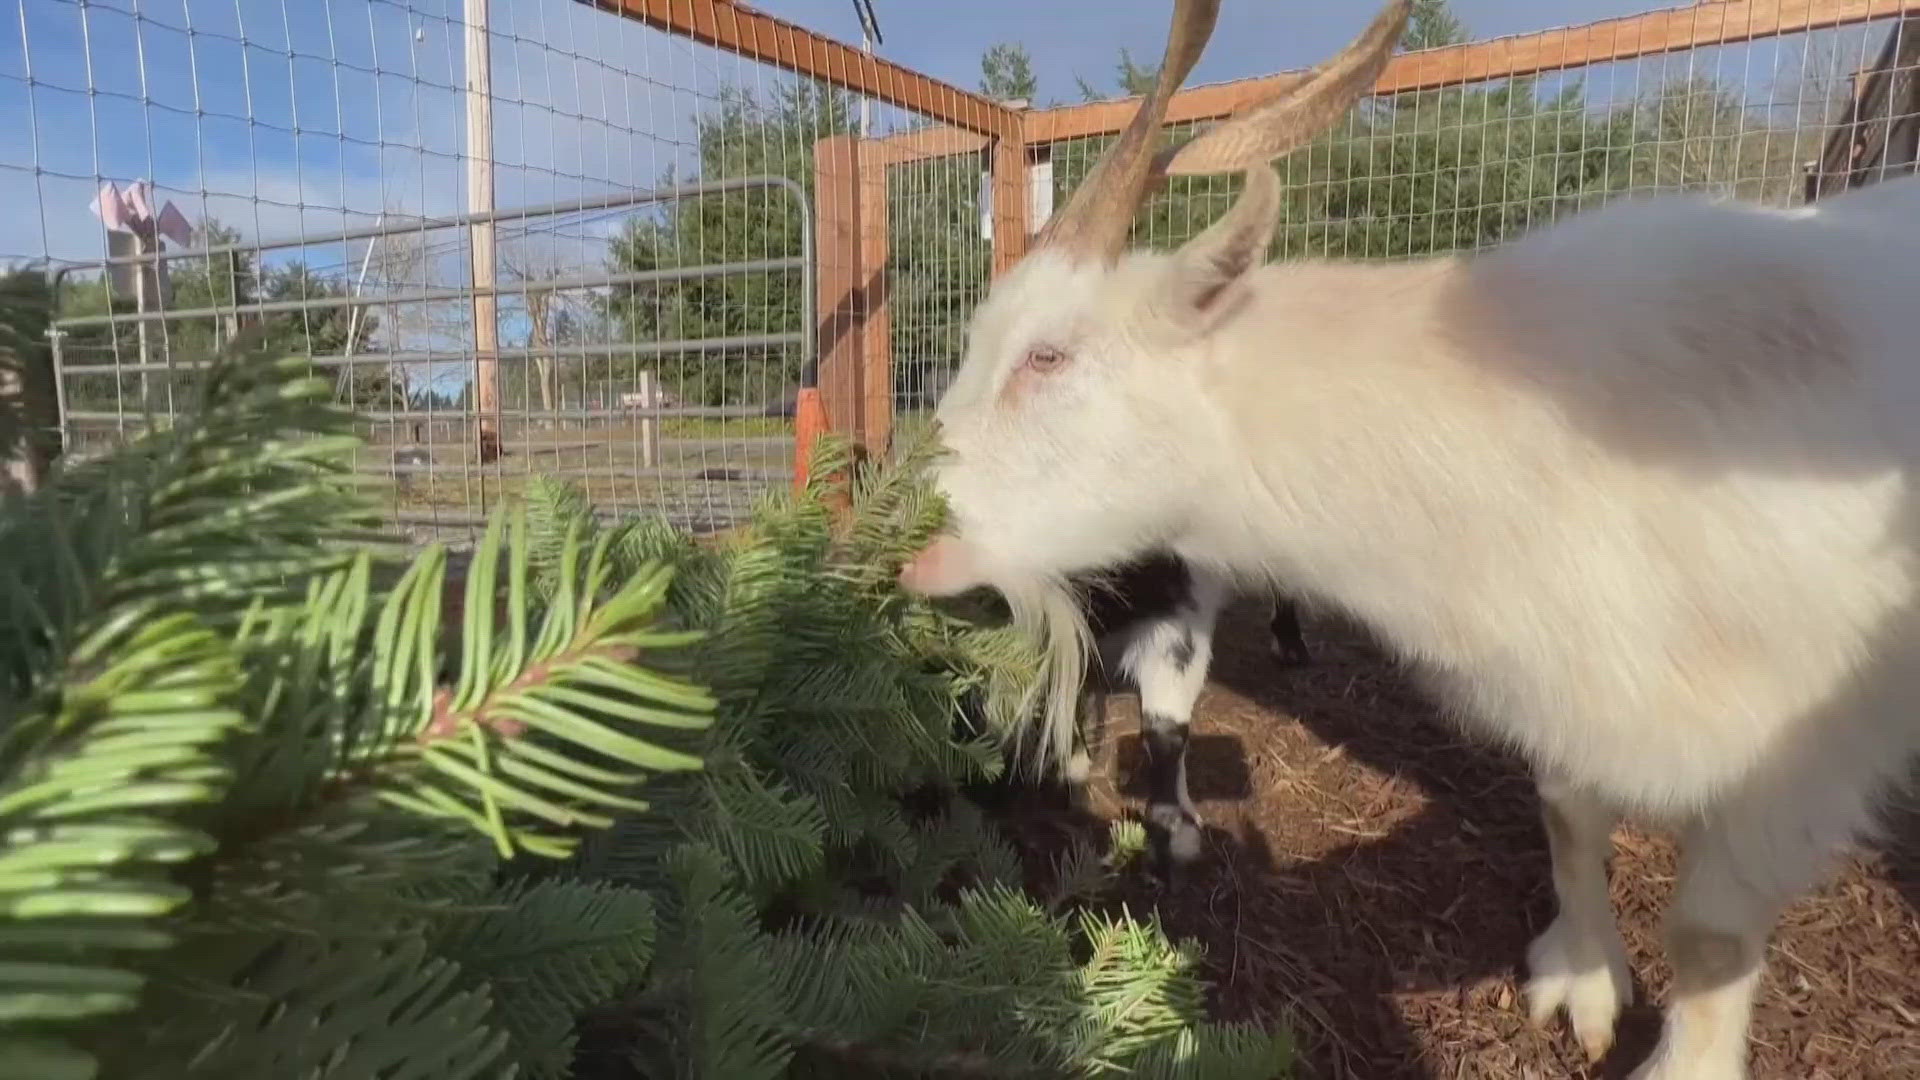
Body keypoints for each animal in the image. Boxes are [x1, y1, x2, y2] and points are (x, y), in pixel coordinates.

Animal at [894, 1, 1920, 1076]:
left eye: (1046, 357)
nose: (905, 530)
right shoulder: (1564, 681)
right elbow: (1570, 817)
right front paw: (1583, 979)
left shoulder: (1808, 743)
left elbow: (1713, 935)